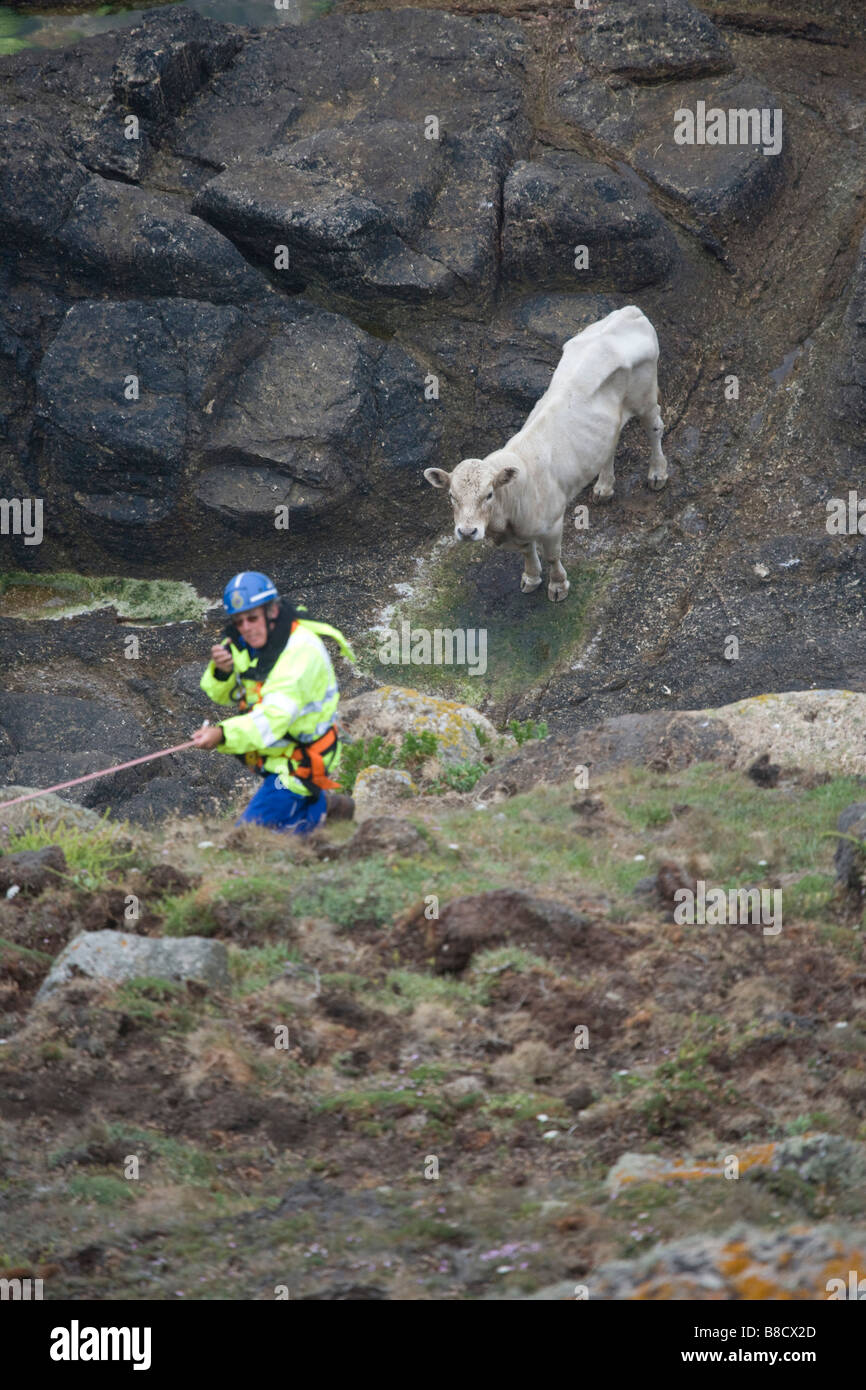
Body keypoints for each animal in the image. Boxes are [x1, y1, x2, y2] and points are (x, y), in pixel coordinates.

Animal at [424, 305, 668, 601]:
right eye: (451, 496)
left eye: (489, 494)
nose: (467, 531)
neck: (507, 519)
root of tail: (629, 311)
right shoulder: (519, 534)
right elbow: (527, 551)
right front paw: (531, 577)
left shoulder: (552, 523)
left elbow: (552, 556)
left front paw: (558, 585)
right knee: (611, 440)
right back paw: (604, 487)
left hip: (645, 395)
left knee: (654, 428)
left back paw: (657, 473)